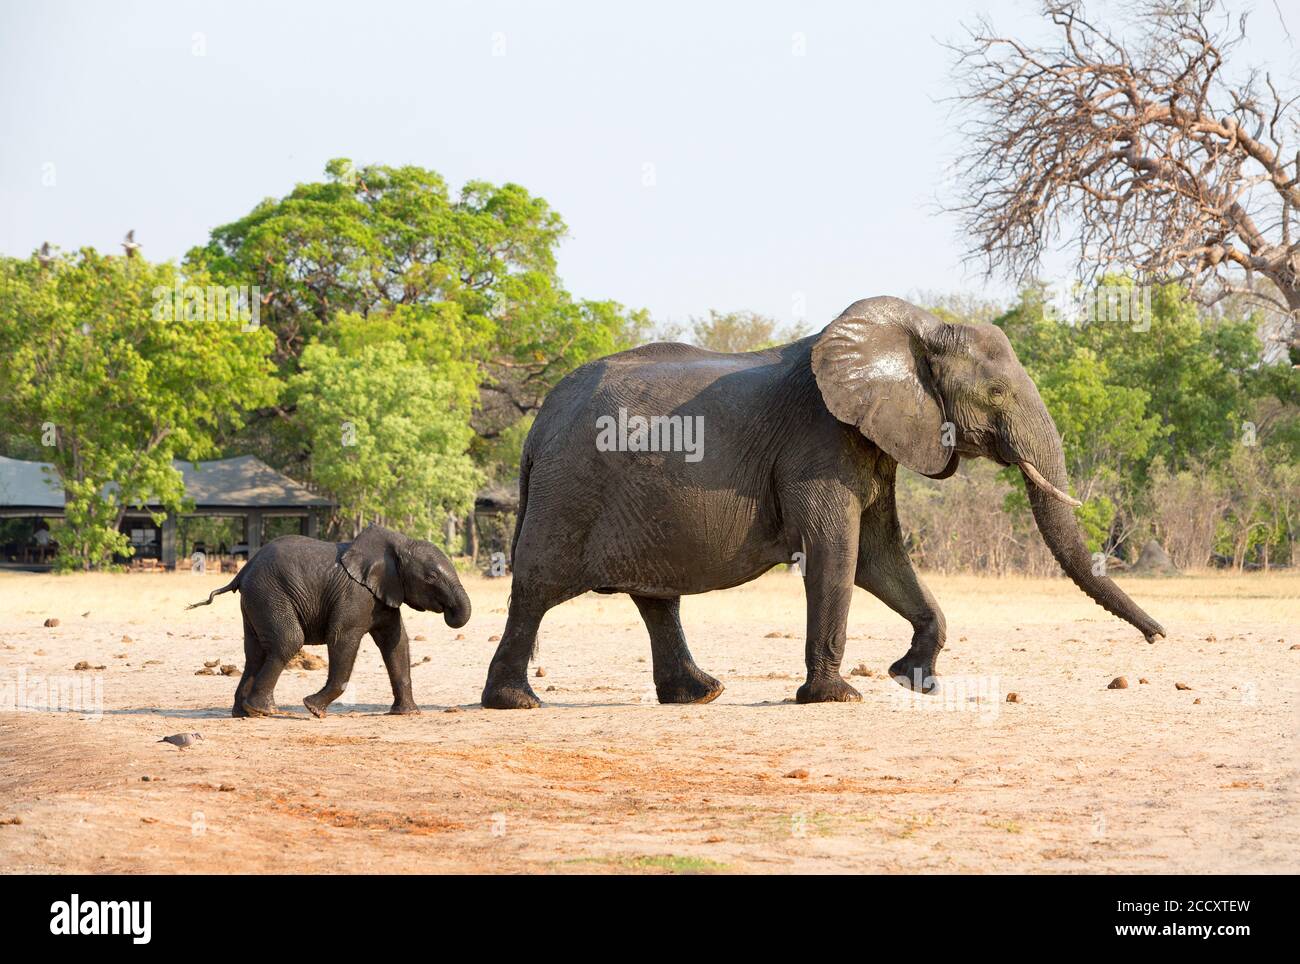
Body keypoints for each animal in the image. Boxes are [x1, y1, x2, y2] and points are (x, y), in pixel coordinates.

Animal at [189, 525, 471, 718]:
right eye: (431, 577)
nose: (449, 612)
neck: (399, 543)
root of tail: (244, 570)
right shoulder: (356, 594)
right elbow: (343, 638)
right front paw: (313, 709)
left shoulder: (382, 595)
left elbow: (396, 642)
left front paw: (407, 714)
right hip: (269, 593)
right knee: (288, 641)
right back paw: (266, 711)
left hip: (256, 599)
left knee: (256, 652)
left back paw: (245, 713)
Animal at [481, 296, 1164, 709]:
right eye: (995, 392)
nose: (1159, 637)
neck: (917, 328)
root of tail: (537, 426)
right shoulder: (820, 440)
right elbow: (838, 553)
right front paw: (839, 697)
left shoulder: (872, 439)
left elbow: (881, 556)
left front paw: (914, 680)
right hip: (570, 489)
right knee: (537, 587)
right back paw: (516, 702)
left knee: (656, 598)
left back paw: (700, 693)